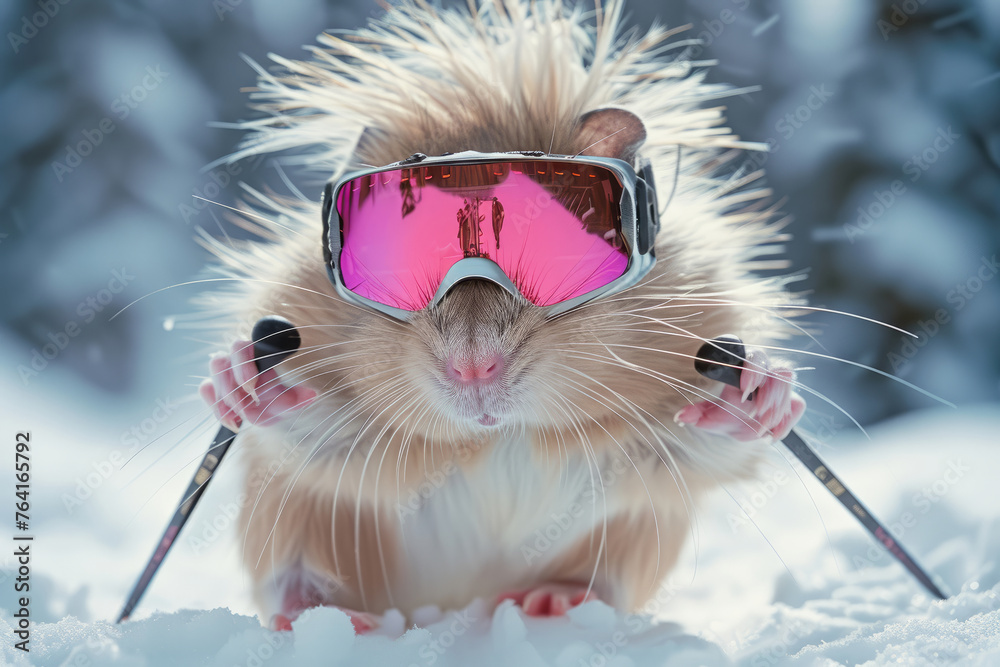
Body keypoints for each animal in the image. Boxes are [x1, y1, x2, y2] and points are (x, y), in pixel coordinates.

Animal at [196, 0, 806, 632]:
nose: (473, 370)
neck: (501, 434)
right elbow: (308, 424)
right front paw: (243, 381)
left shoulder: (666, 431)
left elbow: (714, 439)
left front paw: (762, 391)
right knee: (289, 584)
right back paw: (334, 616)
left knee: (604, 586)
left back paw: (548, 600)